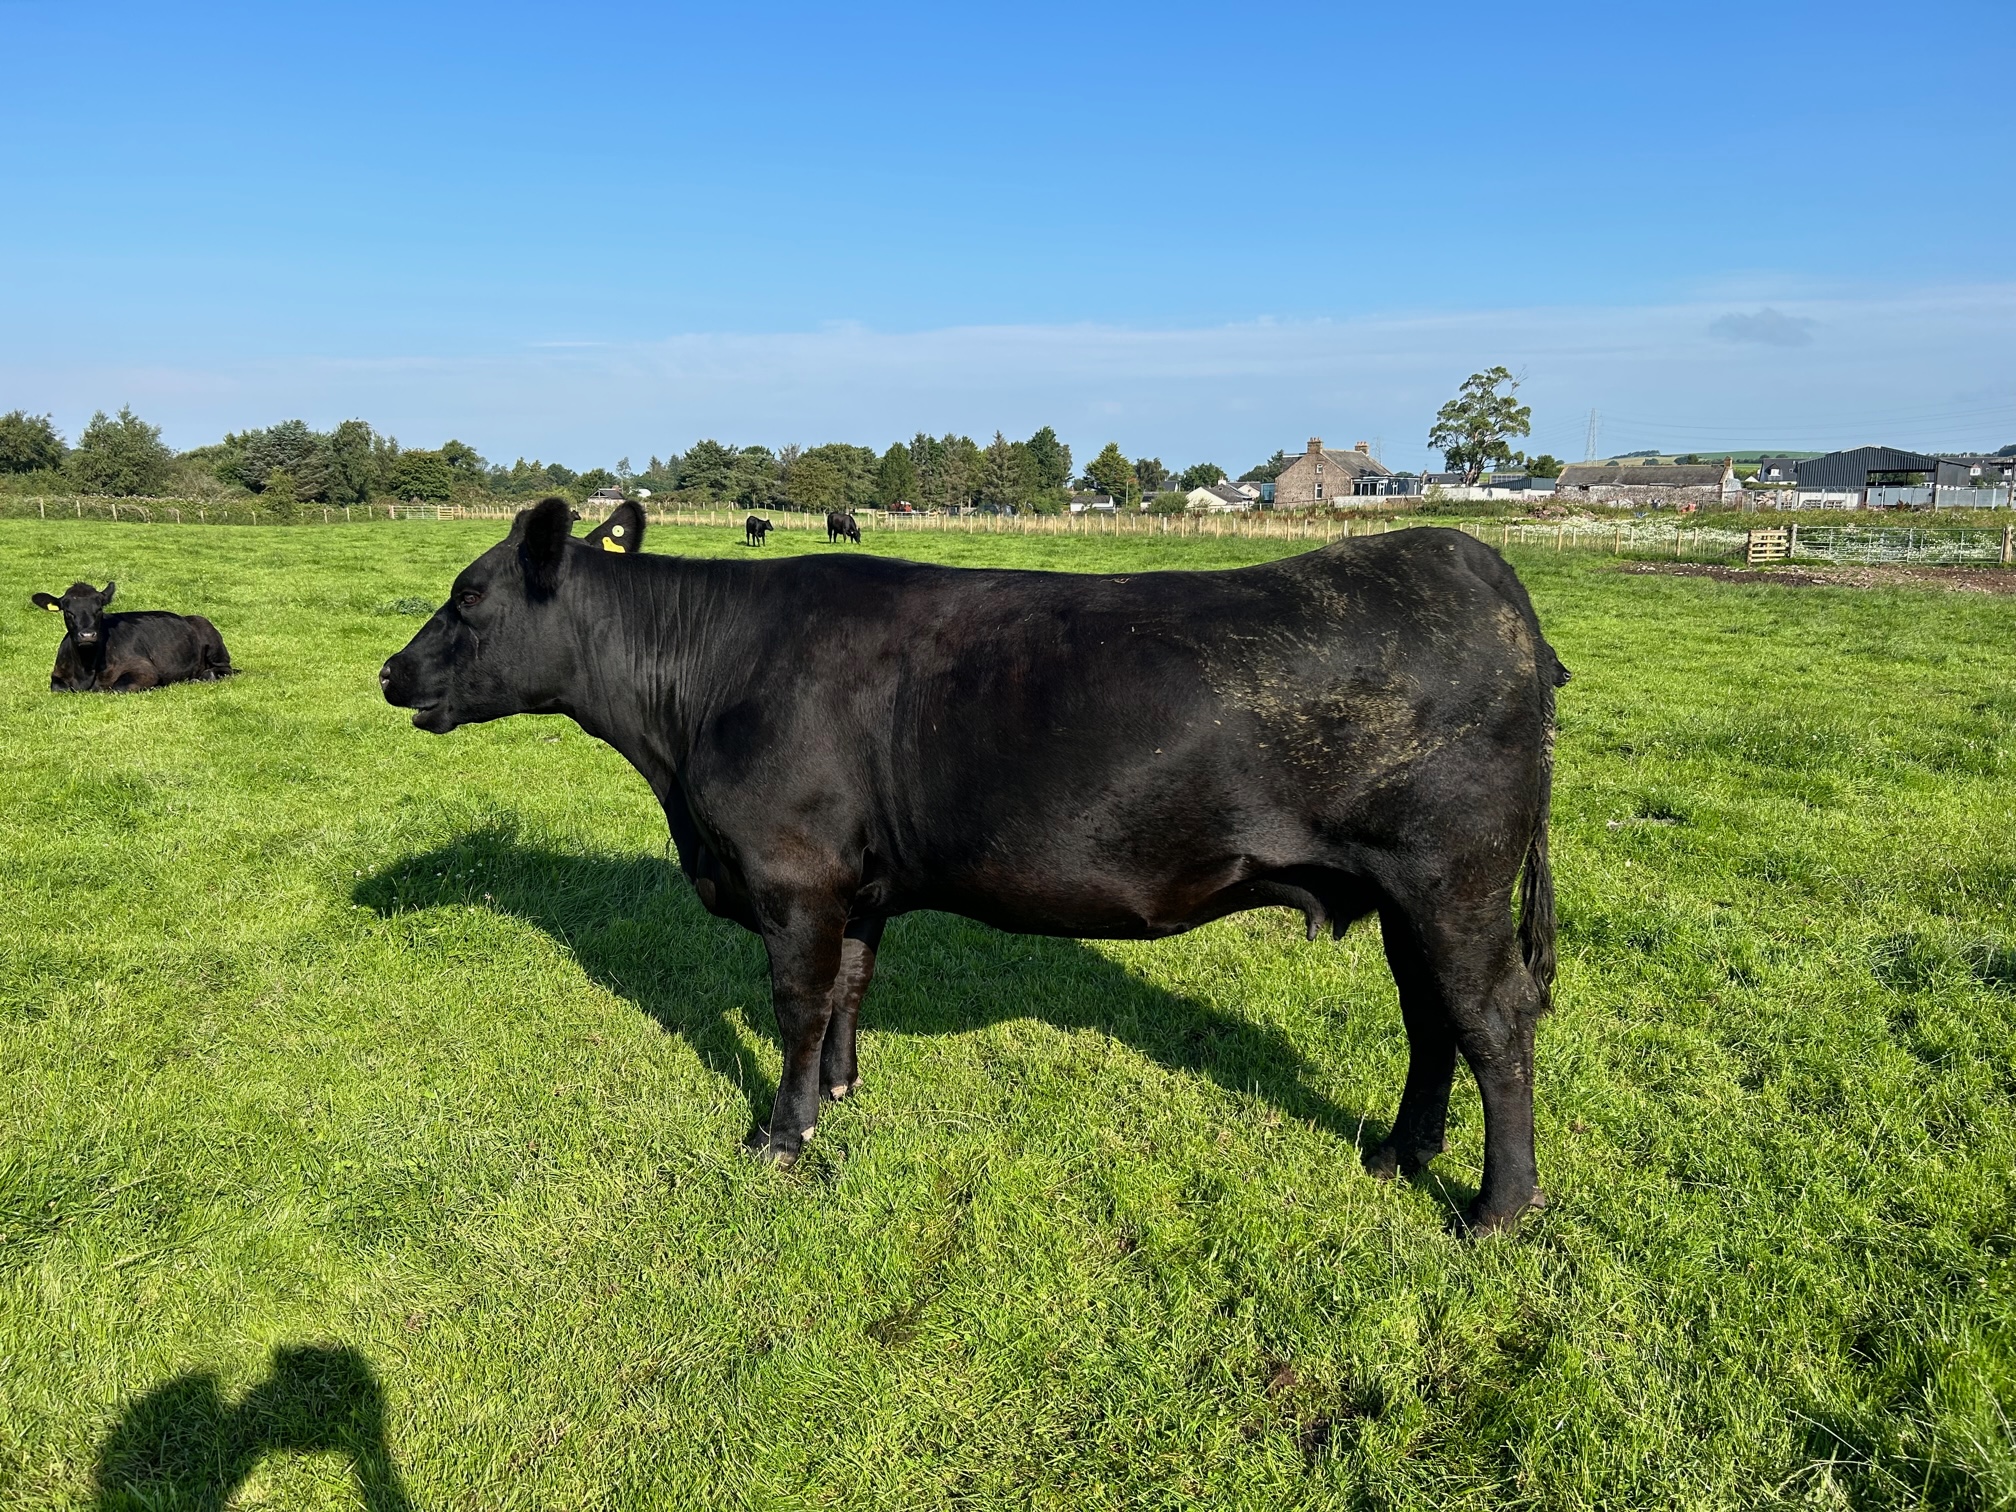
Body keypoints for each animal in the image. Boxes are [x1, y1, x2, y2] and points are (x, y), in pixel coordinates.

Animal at [32, 581, 234, 693]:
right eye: (68, 612)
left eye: (99, 609)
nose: (87, 635)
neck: (85, 669)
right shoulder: (58, 674)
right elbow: (59, 688)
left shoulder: (145, 670)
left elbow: (116, 688)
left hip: (213, 642)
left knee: (224, 669)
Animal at [380, 497, 1567, 1233]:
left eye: (469, 597)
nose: (390, 672)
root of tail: (1468, 559)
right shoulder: (856, 883)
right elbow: (852, 988)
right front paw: (843, 1090)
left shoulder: (792, 877)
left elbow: (796, 1004)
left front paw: (784, 1133)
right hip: (1408, 895)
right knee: (1430, 1017)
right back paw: (1402, 1154)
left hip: (1452, 881)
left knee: (1492, 1021)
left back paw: (1496, 1210)